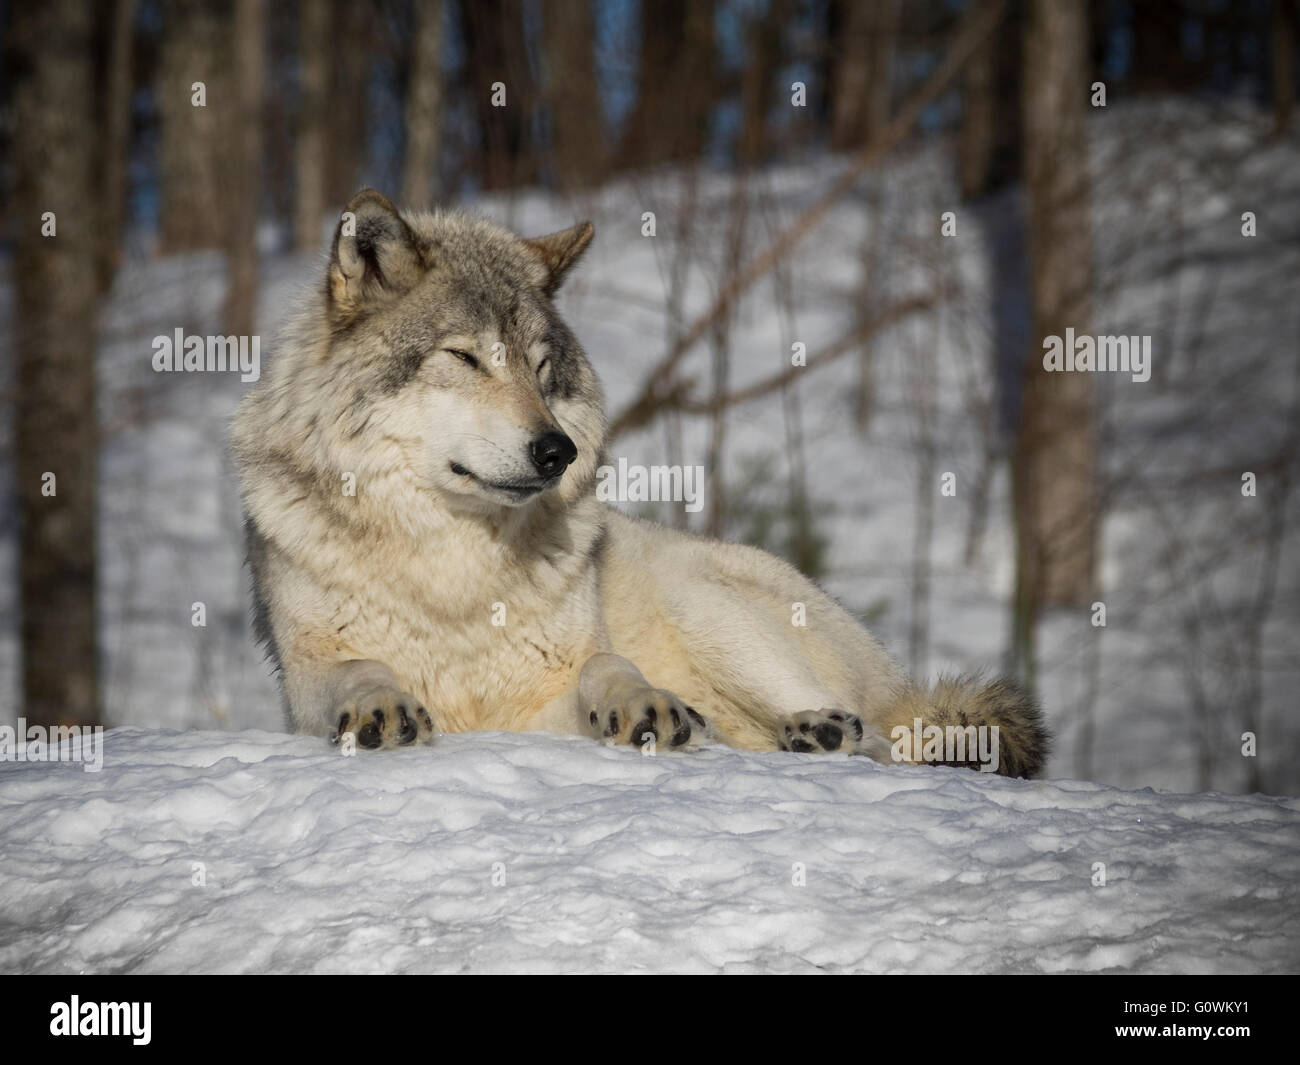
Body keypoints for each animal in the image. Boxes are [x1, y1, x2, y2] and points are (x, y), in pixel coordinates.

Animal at [231, 189, 1049, 776]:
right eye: (464, 358)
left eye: (541, 369)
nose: (556, 450)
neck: (454, 571)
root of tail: (892, 673)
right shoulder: (304, 682)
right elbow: (358, 667)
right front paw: (380, 702)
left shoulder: (553, 691)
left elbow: (608, 666)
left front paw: (647, 704)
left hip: (705, 601)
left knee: (879, 738)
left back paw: (815, 731)